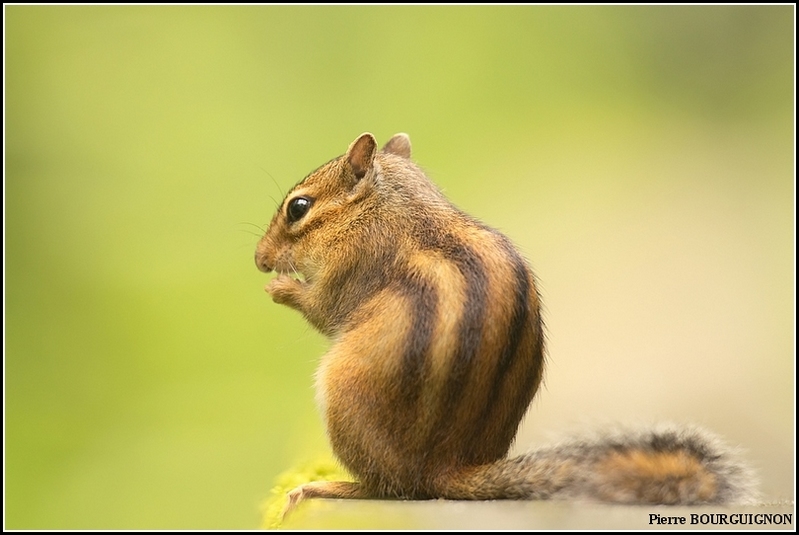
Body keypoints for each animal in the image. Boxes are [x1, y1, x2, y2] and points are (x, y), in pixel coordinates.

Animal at [254, 133, 759, 515]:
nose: (259, 259)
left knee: (392, 489)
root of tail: (446, 469)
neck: (388, 208)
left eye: (298, 207)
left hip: (343, 397)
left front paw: (280, 288)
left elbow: (324, 310)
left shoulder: (353, 267)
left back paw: (325, 487)